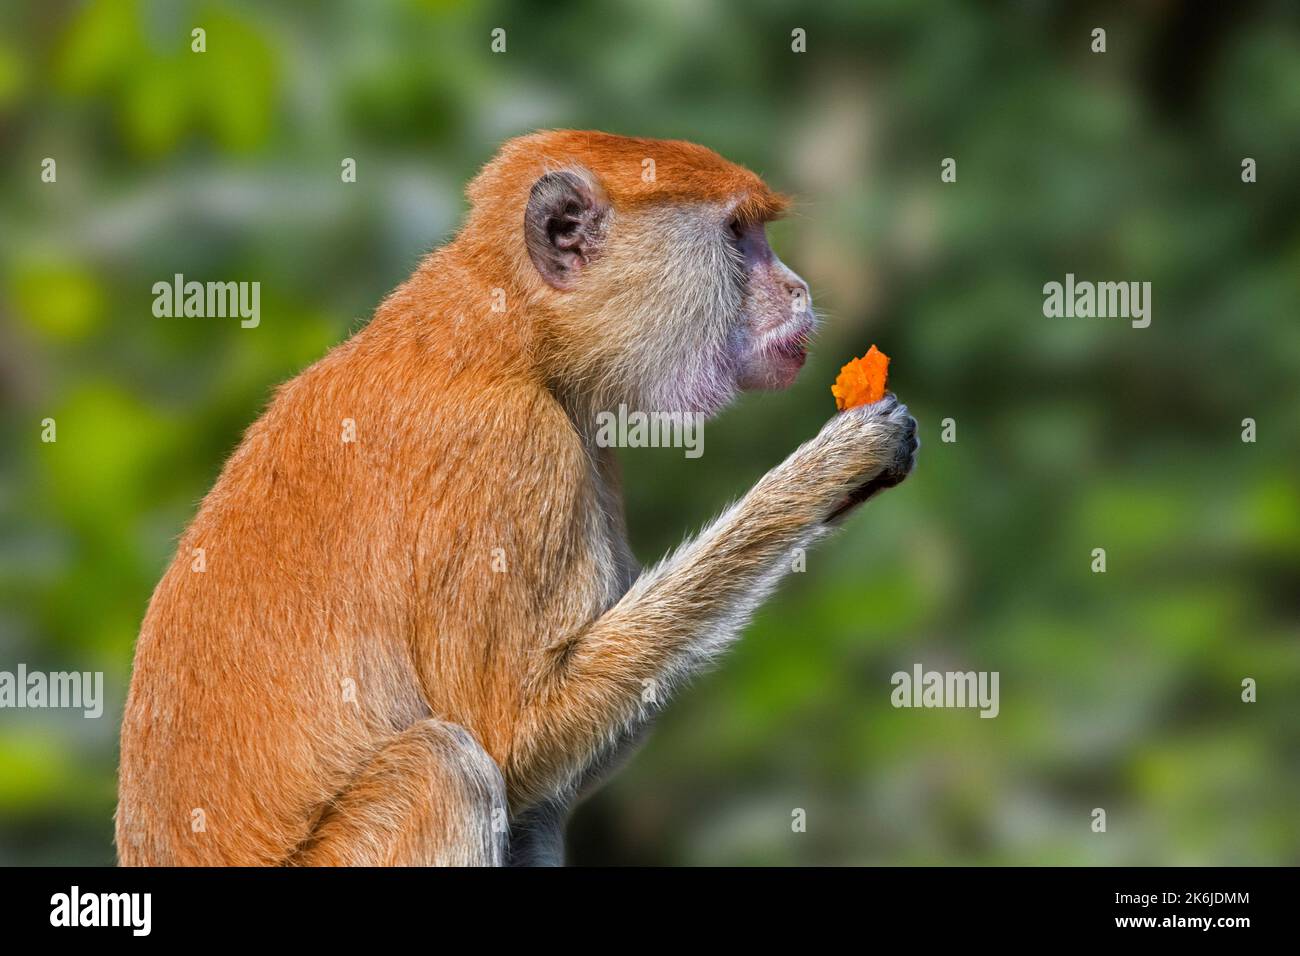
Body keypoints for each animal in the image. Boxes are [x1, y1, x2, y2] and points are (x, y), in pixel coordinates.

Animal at [115, 130, 918, 866]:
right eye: (737, 234)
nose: (800, 290)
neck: (509, 330)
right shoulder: (514, 451)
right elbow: (515, 731)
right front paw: (830, 471)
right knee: (444, 768)